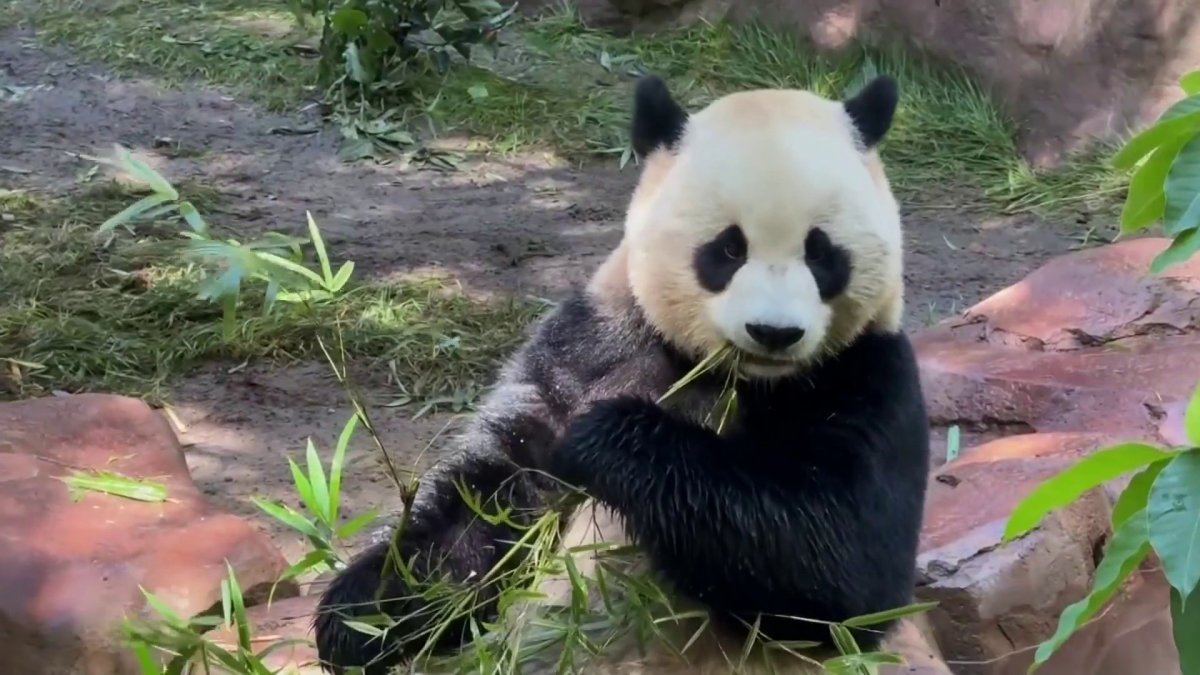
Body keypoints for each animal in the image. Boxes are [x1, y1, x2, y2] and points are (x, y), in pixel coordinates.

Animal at [314, 74, 942, 675]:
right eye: (728, 249)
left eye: (821, 252)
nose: (774, 332)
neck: (743, 376)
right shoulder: (594, 342)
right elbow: (491, 508)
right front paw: (359, 614)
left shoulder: (866, 373)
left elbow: (845, 564)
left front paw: (608, 437)